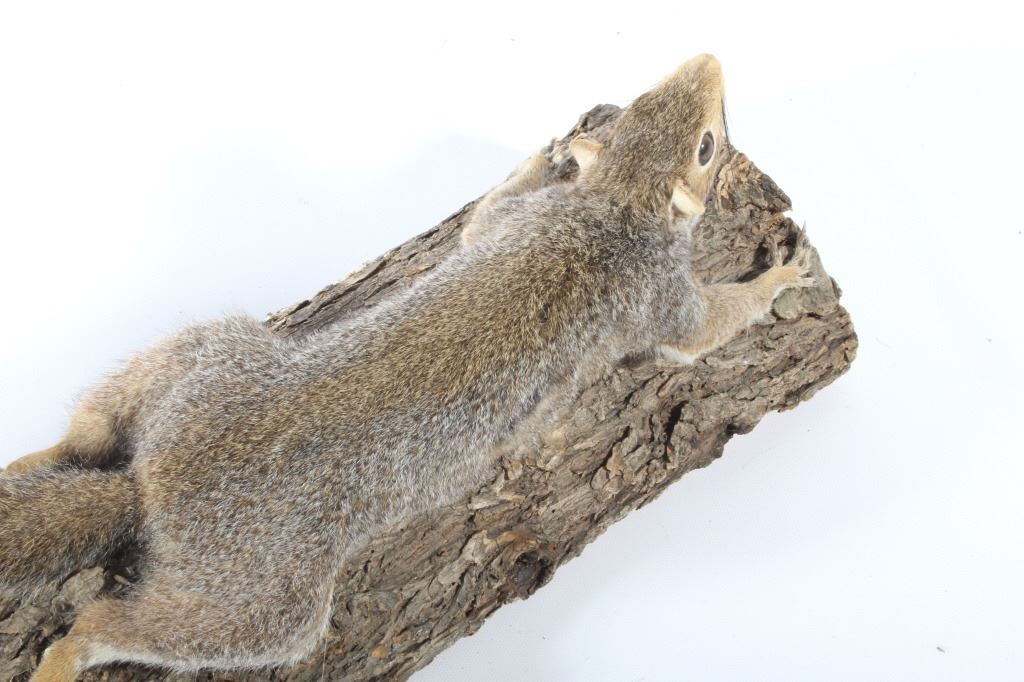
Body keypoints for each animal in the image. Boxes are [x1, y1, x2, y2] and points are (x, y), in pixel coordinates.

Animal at [1, 54, 814, 681]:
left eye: (666, 114)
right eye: (705, 145)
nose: (710, 60)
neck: (615, 202)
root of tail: (152, 486)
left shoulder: (527, 227)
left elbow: (484, 222)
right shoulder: (655, 291)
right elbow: (702, 332)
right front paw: (778, 279)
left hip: (196, 363)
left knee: (97, 428)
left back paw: (41, 456)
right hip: (264, 600)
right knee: (118, 623)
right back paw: (64, 656)